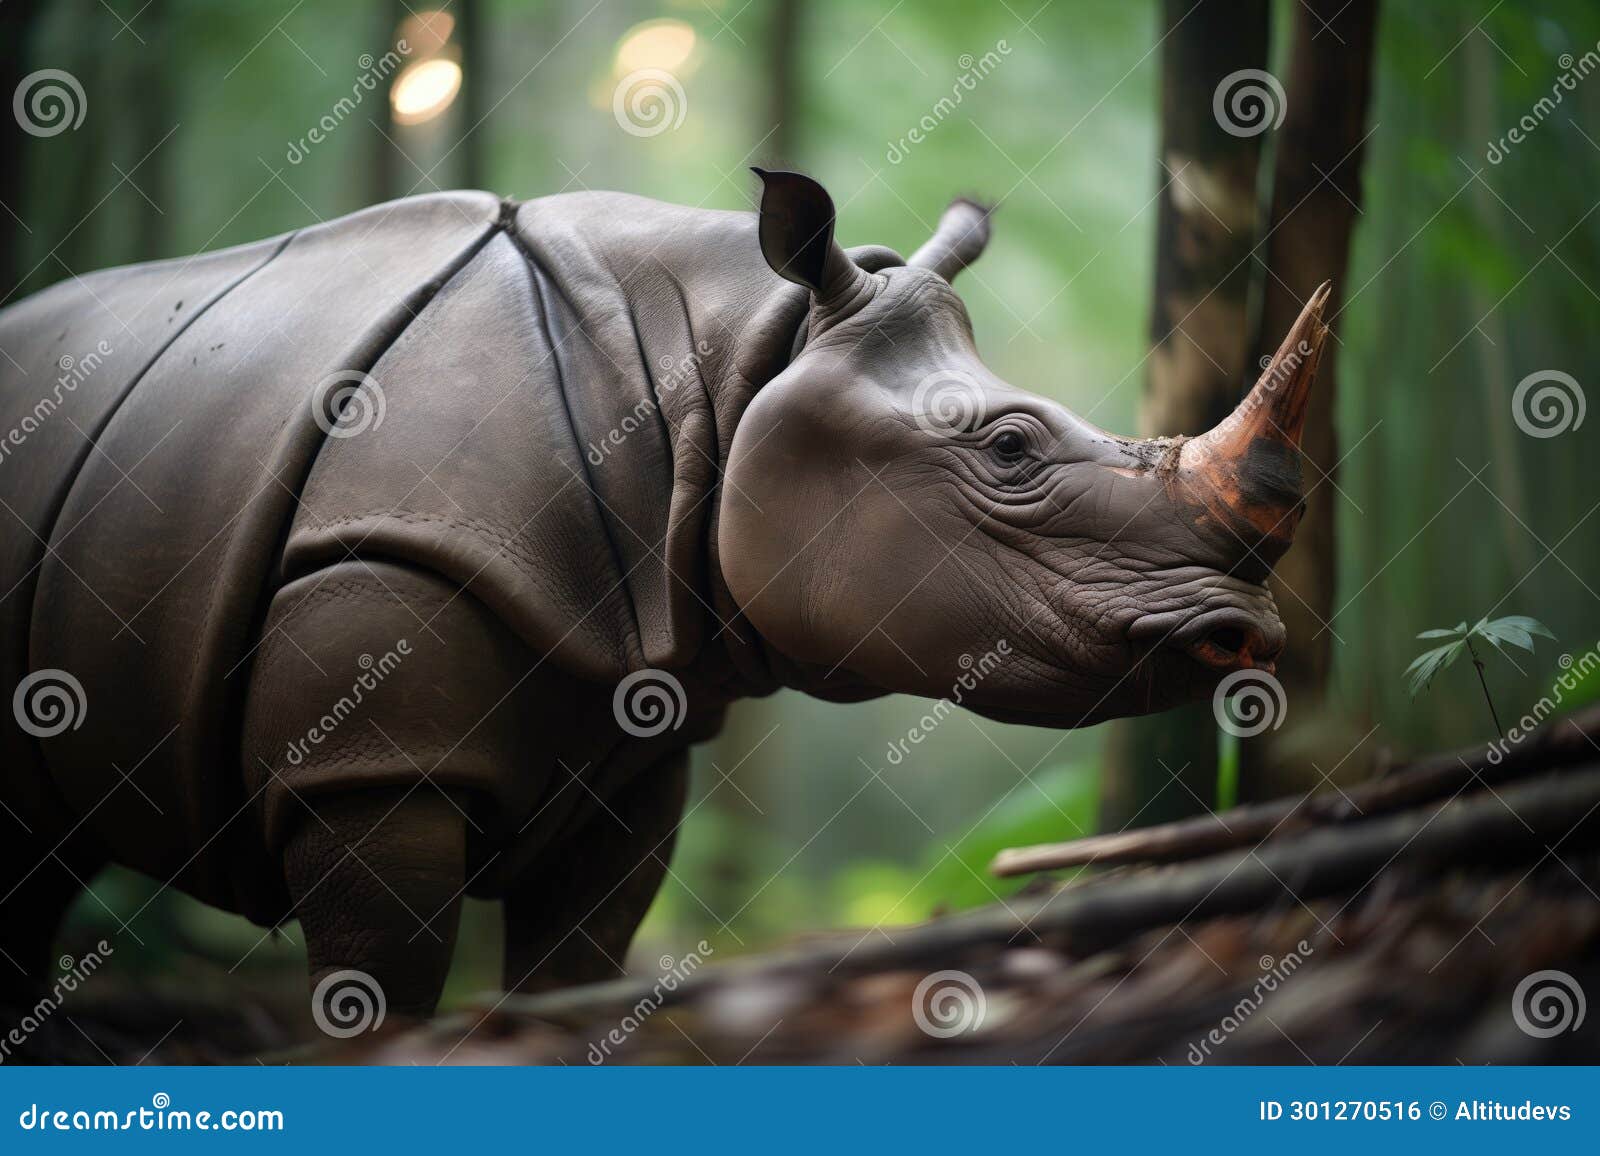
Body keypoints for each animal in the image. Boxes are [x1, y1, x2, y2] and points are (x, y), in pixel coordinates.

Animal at [0, 170, 1326, 1024]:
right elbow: (384, 972)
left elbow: (575, 963)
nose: (1247, 636)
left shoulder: (634, 729)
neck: (730, 361)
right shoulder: (369, 733)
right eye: (1008, 452)